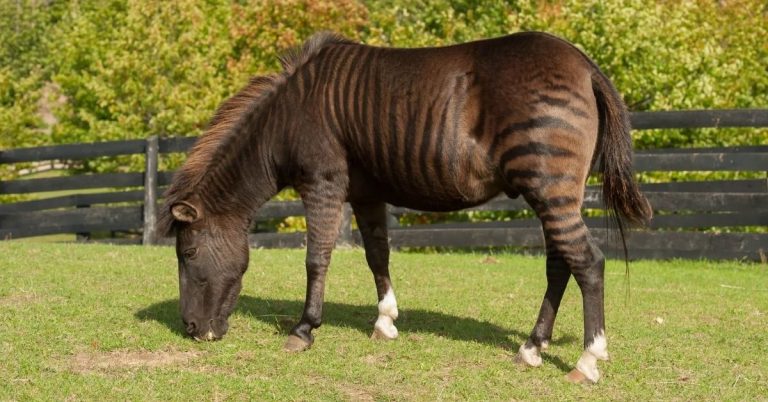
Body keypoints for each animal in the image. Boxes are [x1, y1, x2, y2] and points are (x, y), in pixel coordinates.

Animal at [159, 31, 651, 384]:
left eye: (187, 254)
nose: (191, 329)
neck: (287, 117)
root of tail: (584, 65)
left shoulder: (322, 182)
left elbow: (317, 258)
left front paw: (303, 330)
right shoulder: (365, 192)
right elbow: (377, 254)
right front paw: (385, 321)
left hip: (549, 186)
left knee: (588, 262)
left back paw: (588, 360)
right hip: (556, 191)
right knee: (559, 264)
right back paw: (531, 348)